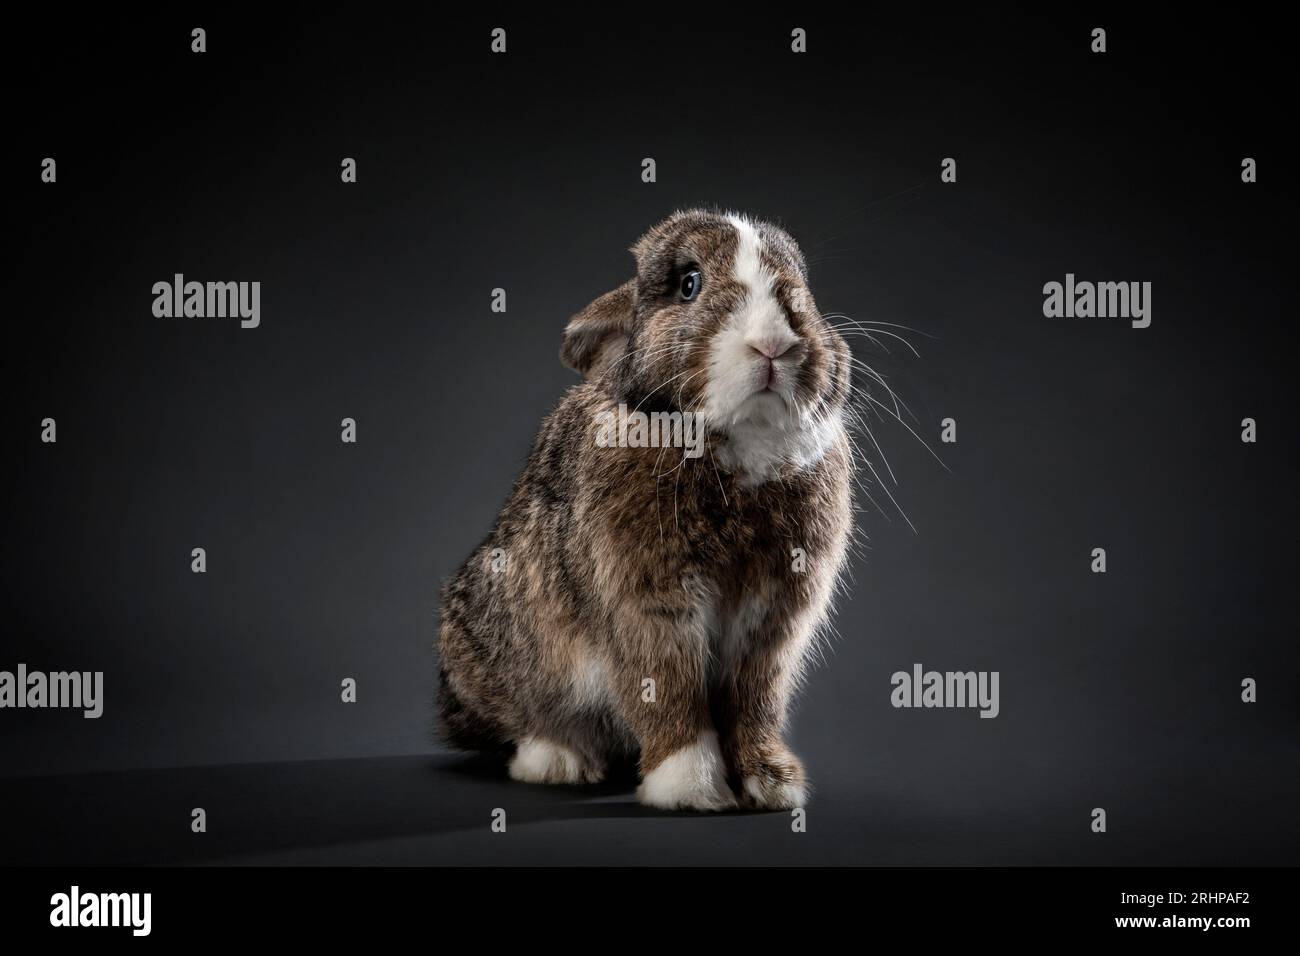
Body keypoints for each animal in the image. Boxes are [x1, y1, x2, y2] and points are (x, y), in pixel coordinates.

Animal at [437, 209, 854, 811]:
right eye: (689, 284)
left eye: (800, 285)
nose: (772, 345)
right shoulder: (651, 601)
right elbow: (667, 686)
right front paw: (690, 788)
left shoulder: (775, 615)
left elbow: (754, 698)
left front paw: (771, 785)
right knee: (532, 717)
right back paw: (559, 761)